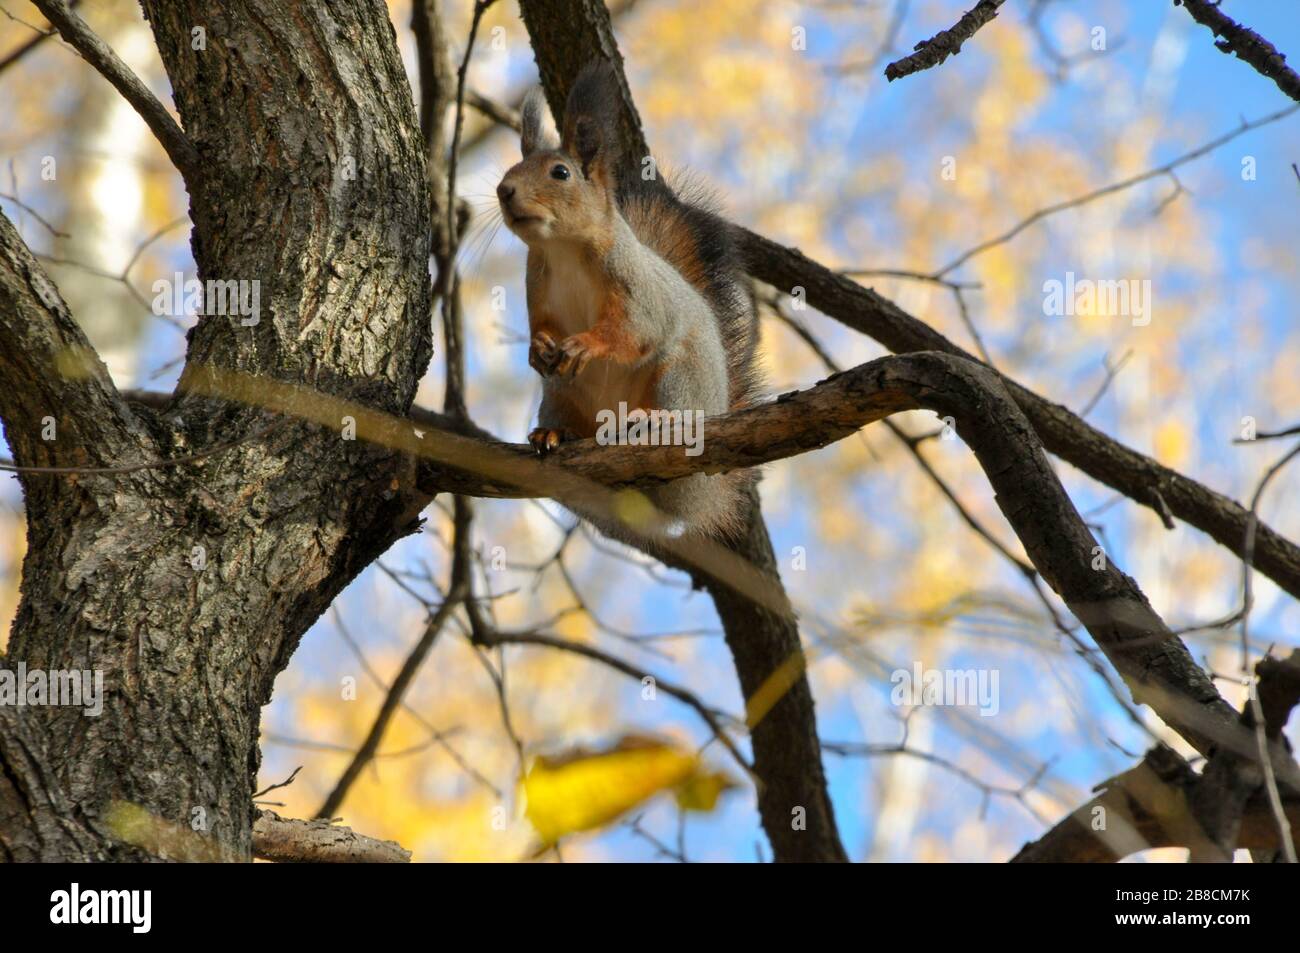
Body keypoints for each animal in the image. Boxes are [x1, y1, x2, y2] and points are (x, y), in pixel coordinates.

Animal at [496, 62, 761, 540]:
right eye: (514, 166)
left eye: (560, 173)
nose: (504, 190)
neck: (563, 249)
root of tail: (694, 502)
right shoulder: (536, 288)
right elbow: (541, 326)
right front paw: (538, 349)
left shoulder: (637, 290)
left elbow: (634, 331)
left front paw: (586, 344)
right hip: (560, 394)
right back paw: (553, 434)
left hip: (677, 377)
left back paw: (654, 421)